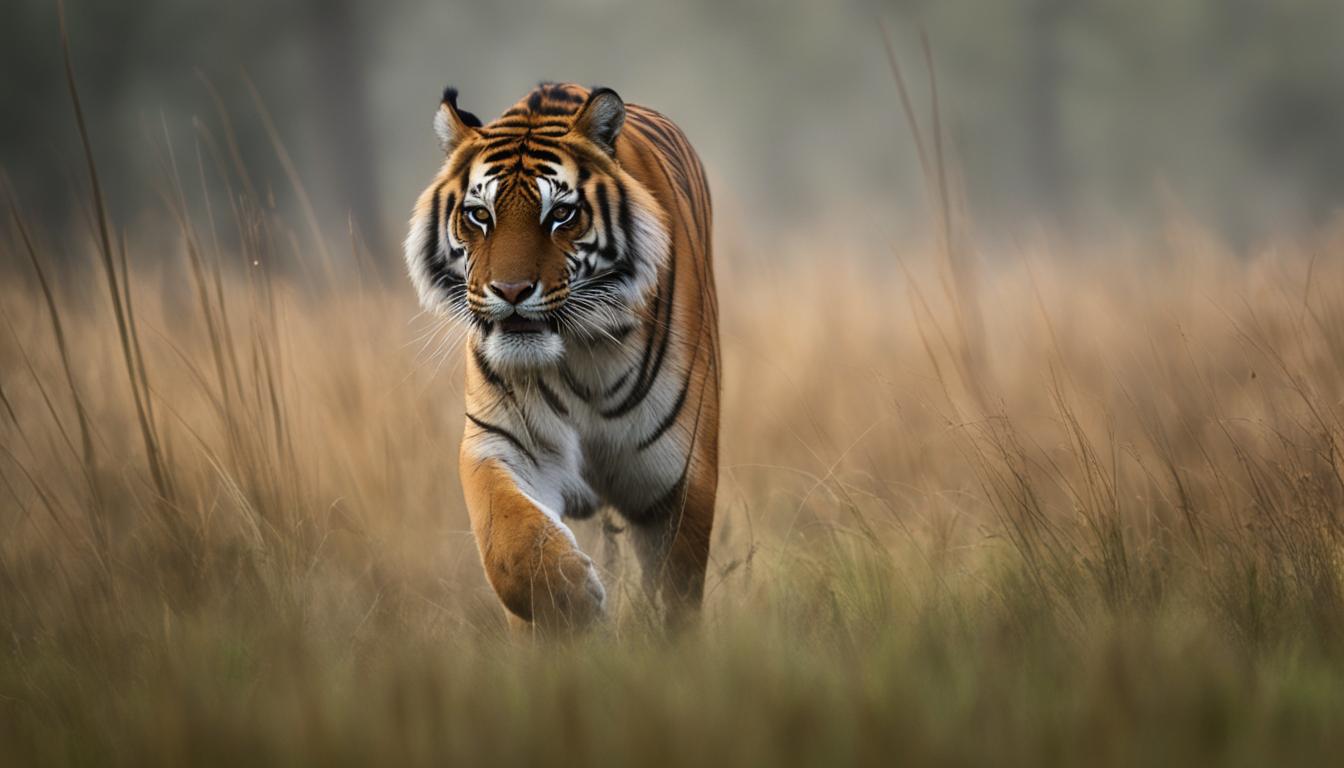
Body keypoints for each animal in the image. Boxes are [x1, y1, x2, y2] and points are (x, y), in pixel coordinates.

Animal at [403, 83, 719, 633]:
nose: (510, 291)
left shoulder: (679, 476)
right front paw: (575, 603)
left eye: (561, 215)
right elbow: (511, 544)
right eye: (479, 214)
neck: (581, 357)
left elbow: (676, 598)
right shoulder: (501, 443)